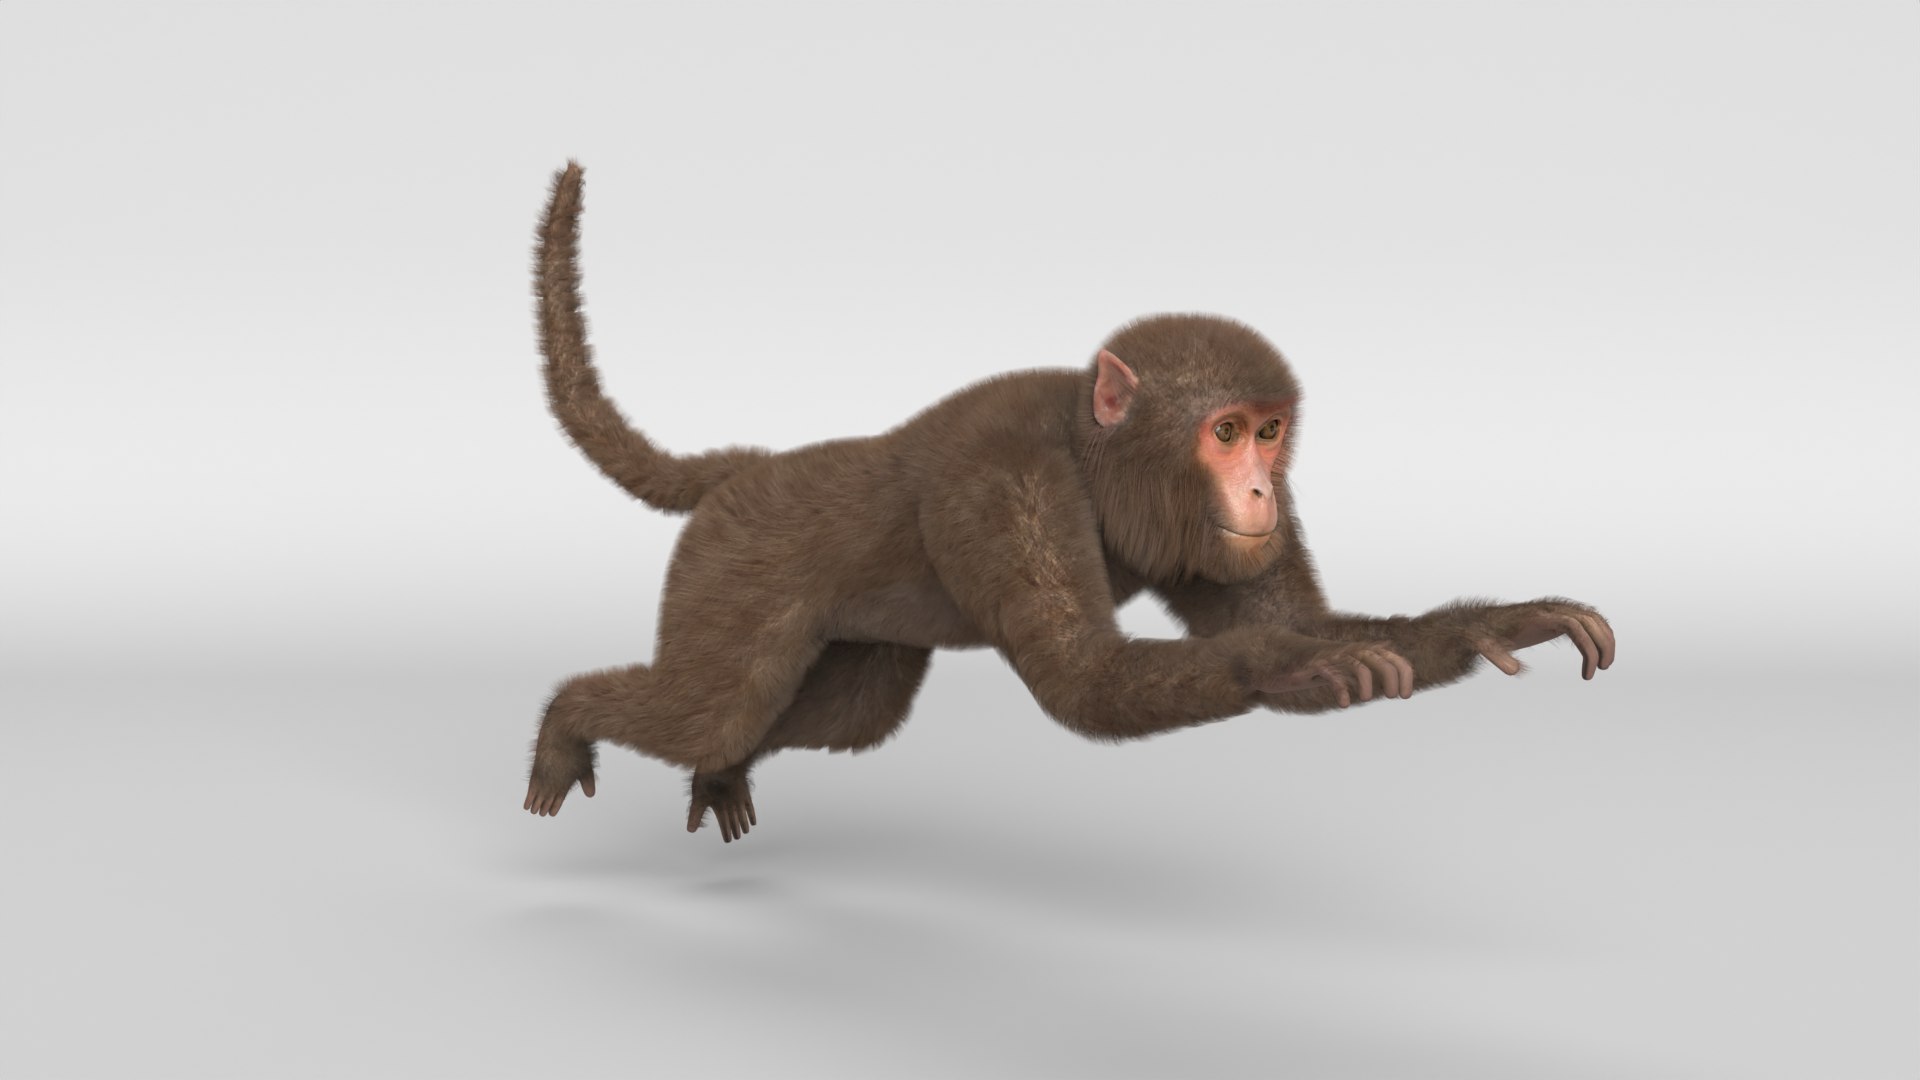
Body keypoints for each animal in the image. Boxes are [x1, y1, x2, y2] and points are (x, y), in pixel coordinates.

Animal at [522, 161, 1616, 843]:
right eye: (1224, 433)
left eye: (1270, 431)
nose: (1261, 487)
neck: (1094, 457)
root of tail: (751, 469)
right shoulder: (1005, 484)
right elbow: (1089, 680)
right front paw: (1283, 663)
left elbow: (1295, 617)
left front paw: (1488, 622)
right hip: (733, 569)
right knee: (714, 706)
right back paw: (569, 720)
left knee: (835, 715)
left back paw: (720, 772)